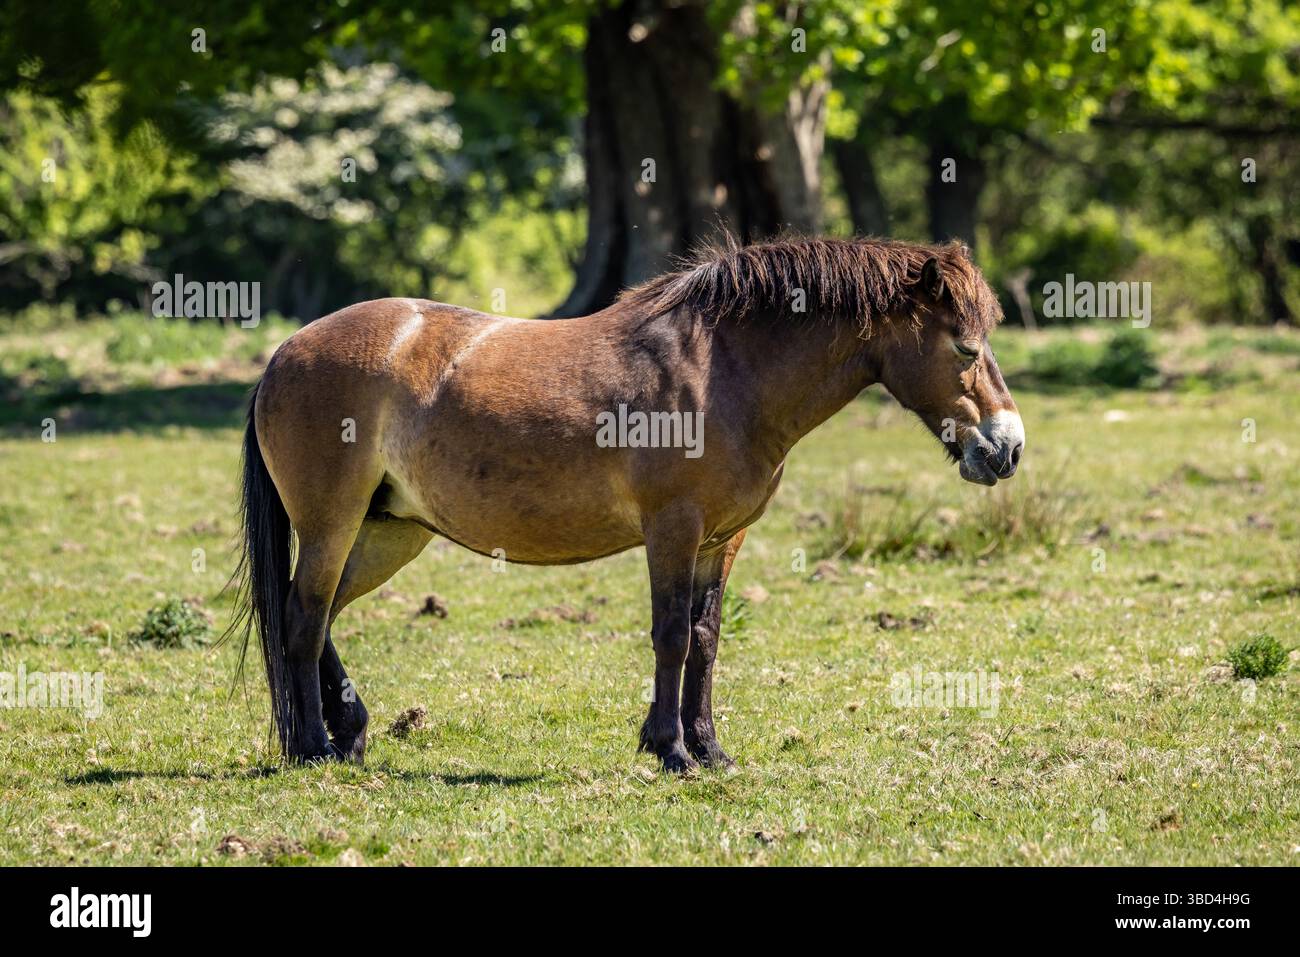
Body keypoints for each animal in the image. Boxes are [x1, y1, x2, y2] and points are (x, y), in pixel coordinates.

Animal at [226, 236, 1025, 773]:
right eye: (964, 348)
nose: (1007, 448)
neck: (723, 371)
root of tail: (285, 352)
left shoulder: (720, 540)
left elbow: (705, 637)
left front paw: (708, 748)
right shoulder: (673, 528)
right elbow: (670, 635)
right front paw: (670, 749)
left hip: (389, 531)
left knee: (315, 611)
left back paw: (350, 730)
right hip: (332, 524)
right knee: (303, 617)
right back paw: (313, 747)